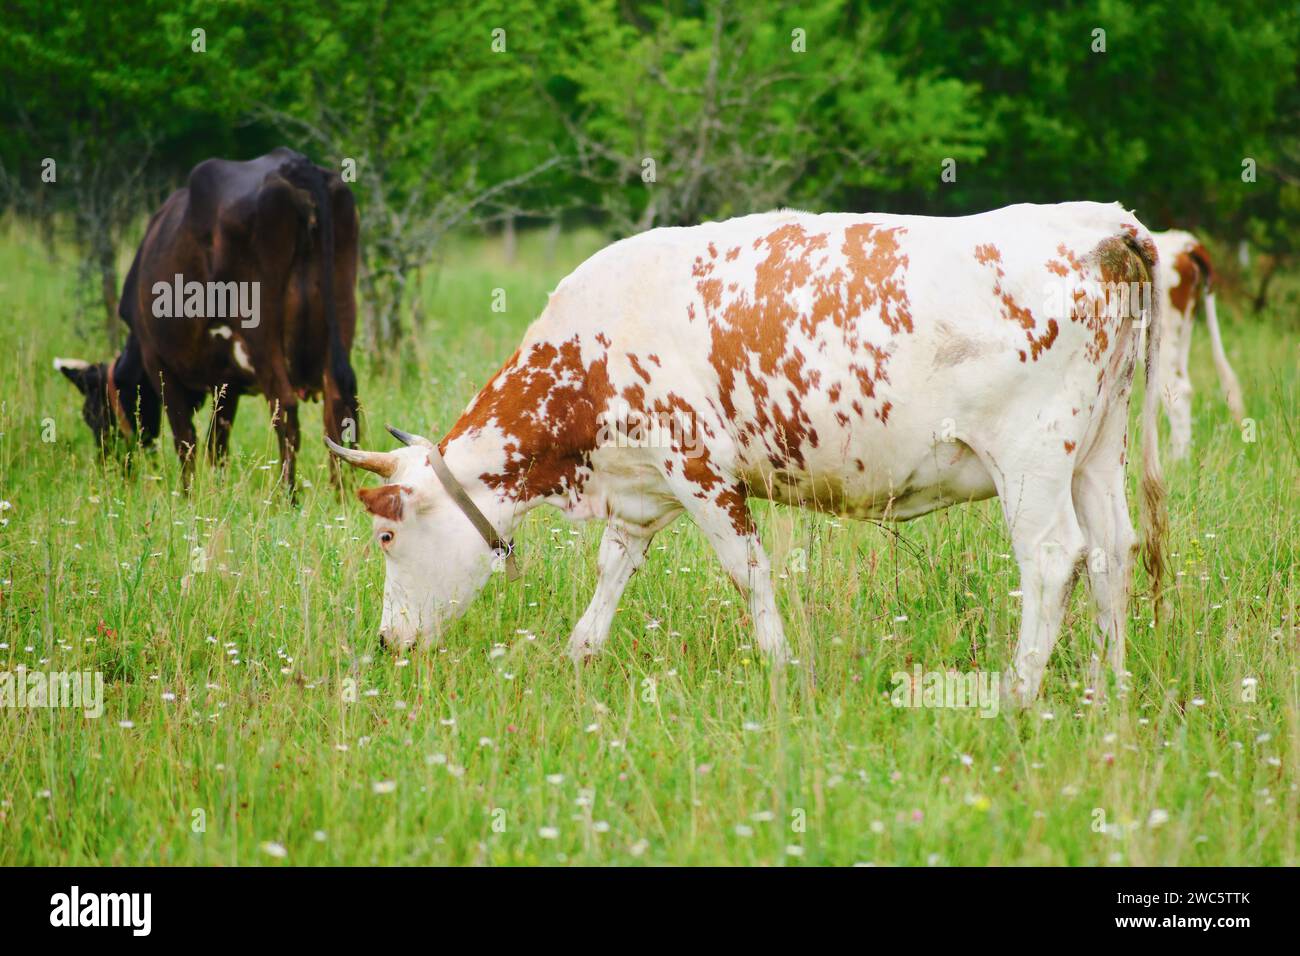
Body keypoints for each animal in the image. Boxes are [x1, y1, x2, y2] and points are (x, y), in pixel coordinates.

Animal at [56, 147, 360, 491]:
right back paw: (342, 495)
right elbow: (218, 444)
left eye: (92, 414)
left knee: (285, 409)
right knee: (339, 409)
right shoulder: (226, 379)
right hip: (341, 312)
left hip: (261, 334)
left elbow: (185, 440)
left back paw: (288, 495)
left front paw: (187, 494)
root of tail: (294, 164)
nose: (110, 466)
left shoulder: (159, 362)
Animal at [328, 202, 1167, 705]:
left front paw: (781, 666)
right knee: (1114, 551)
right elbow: (613, 567)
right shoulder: (641, 487)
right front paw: (578, 654)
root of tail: (1101, 224)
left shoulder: (699, 470)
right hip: (1098, 450)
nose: (387, 639)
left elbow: (747, 570)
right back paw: (1109, 687)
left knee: (1055, 558)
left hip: (1030, 458)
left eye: (386, 535)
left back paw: (1018, 694)